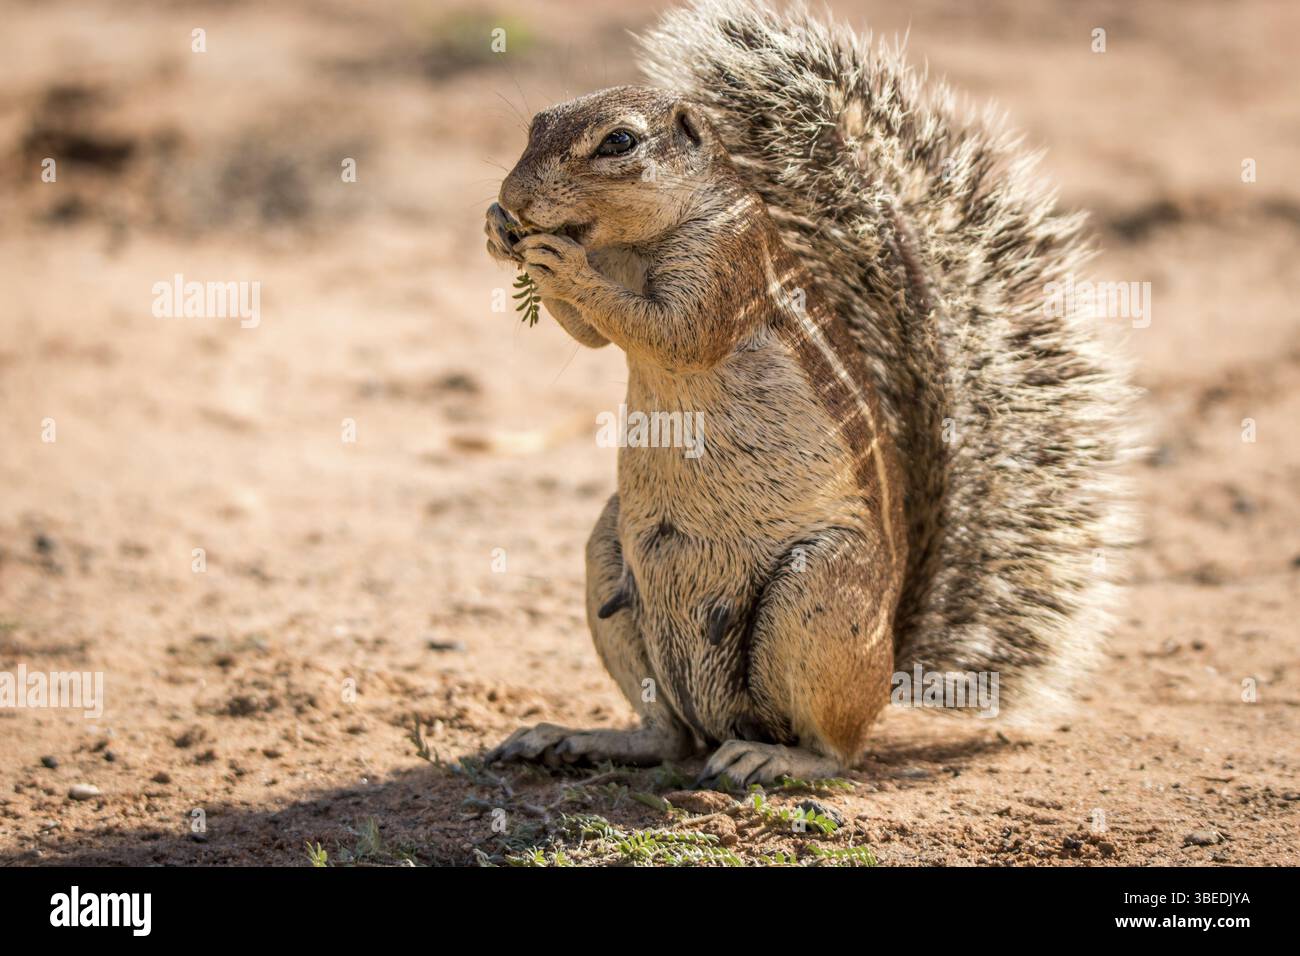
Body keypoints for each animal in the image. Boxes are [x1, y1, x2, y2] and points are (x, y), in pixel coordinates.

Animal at [482, 0, 1135, 787]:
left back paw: (769, 756)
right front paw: (499, 230)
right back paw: (581, 738)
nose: (513, 199)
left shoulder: (728, 264)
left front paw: (557, 260)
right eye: (535, 122)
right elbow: (592, 337)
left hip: (815, 593)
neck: (635, 246)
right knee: (670, 737)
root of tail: (891, 670)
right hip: (607, 557)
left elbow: (673, 331)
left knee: (835, 750)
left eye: (619, 142)